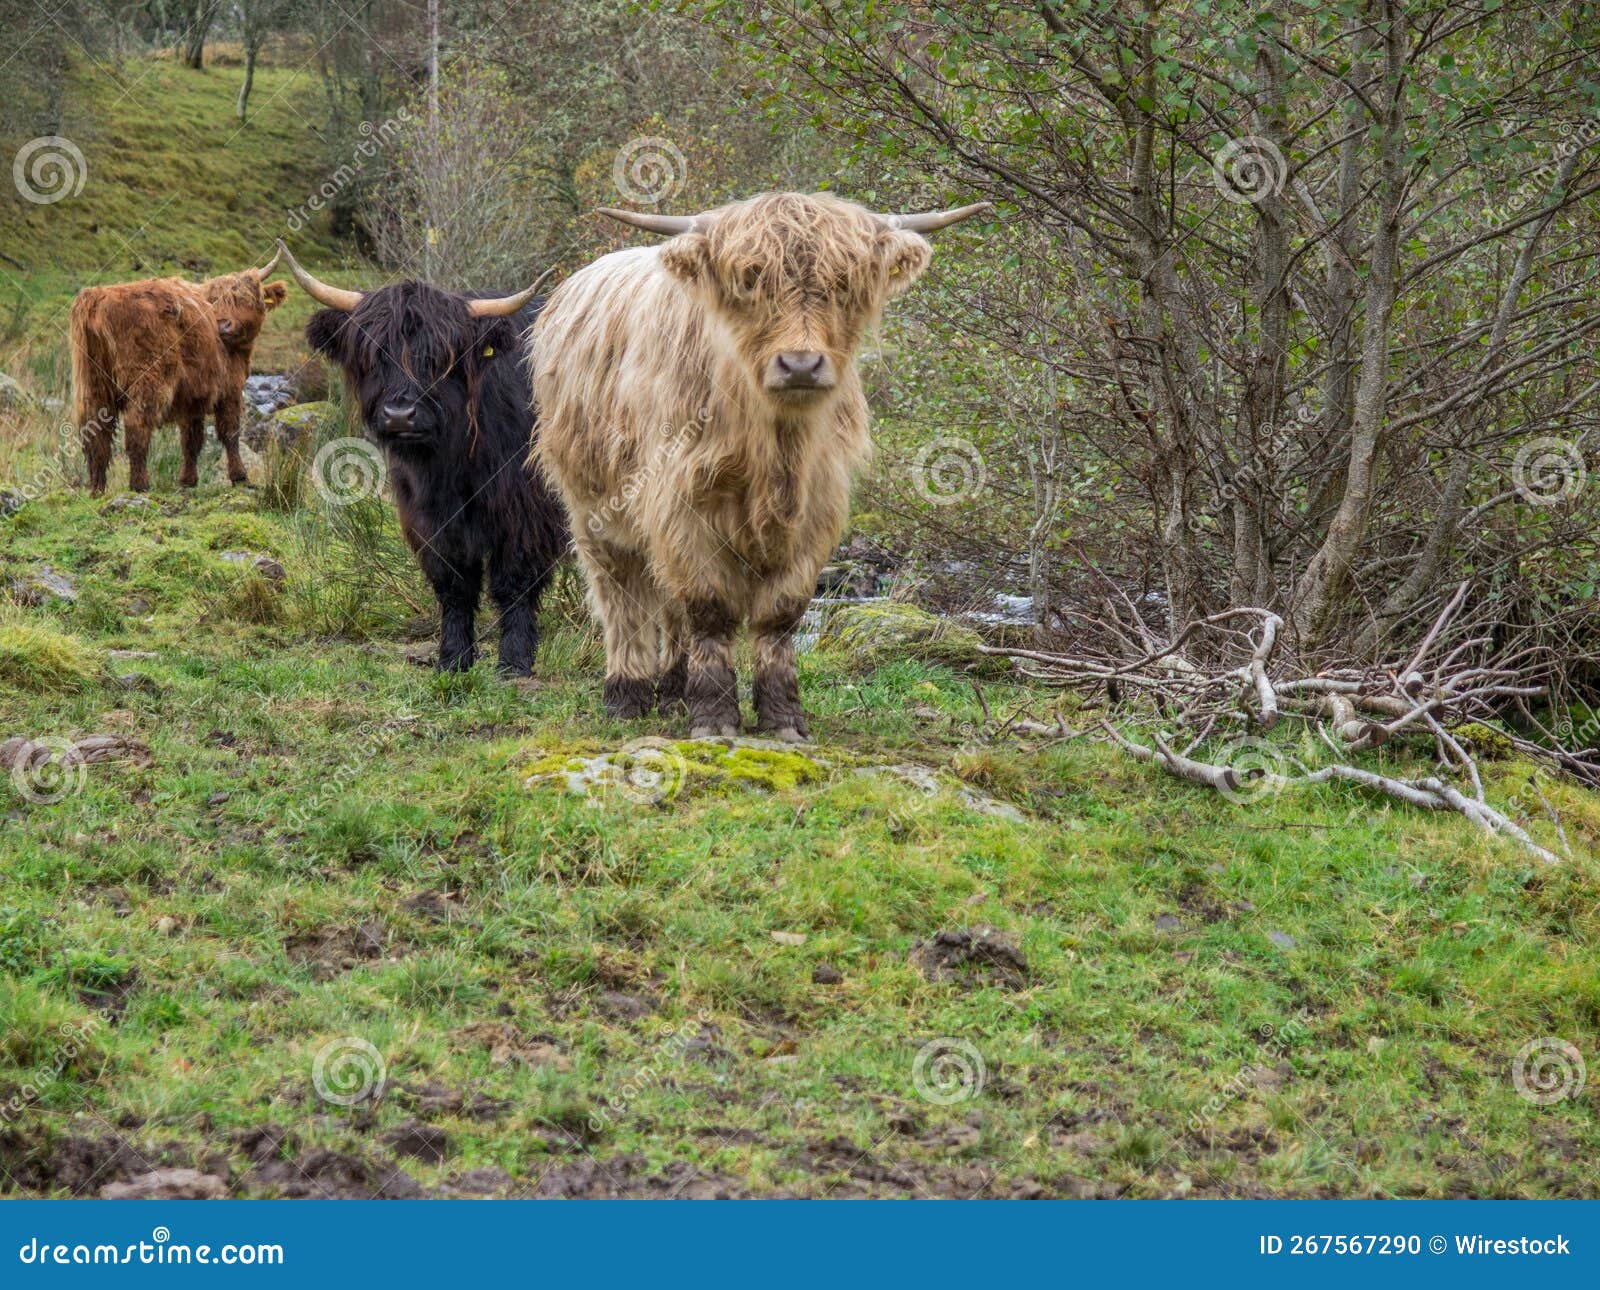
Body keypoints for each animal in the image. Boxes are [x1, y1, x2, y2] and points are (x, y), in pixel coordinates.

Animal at [69, 253, 287, 494]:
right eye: (216, 300)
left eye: (247, 298)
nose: (224, 326)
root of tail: (98, 296)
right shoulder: (230, 388)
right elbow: (229, 431)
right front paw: (239, 476)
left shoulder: (193, 396)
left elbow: (191, 439)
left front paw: (188, 480)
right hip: (149, 379)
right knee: (136, 425)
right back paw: (140, 484)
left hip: (92, 383)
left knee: (95, 433)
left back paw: (97, 488)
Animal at [275, 241, 569, 677]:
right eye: (374, 354)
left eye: (439, 359)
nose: (400, 415)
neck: (453, 465)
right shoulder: (428, 515)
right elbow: (453, 583)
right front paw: (453, 658)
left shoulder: (526, 508)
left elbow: (514, 580)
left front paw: (514, 661)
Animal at [530, 191, 989, 740]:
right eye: (750, 280)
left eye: (844, 282)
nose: (800, 365)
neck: (776, 451)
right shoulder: (681, 503)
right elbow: (709, 607)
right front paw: (714, 716)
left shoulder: (819, 508)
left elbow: (780, 613)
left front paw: (783, 715)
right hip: (593, 509)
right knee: (622, 594)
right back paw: (627, 693)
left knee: (667, 602)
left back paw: (673, 689)